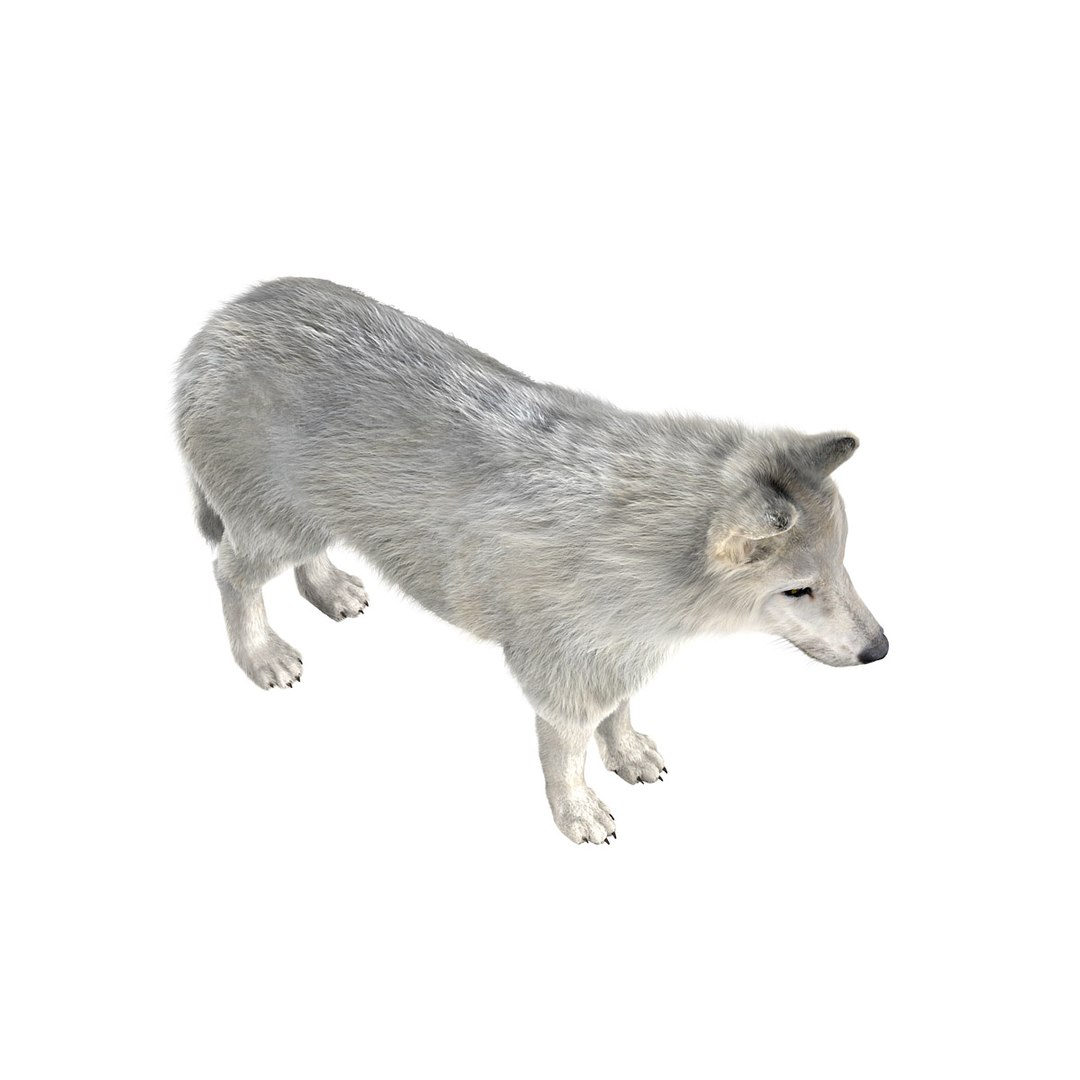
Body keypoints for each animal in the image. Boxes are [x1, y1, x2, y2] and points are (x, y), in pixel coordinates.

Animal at [174, 277, 888, 844]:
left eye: (842, 566)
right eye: (798, 590)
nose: (880, 649)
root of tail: (218, 324)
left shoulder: (618, 649)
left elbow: (618, 713)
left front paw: (628, 753)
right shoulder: (563, 666)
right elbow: (564, 755)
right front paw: (578, 812)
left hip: (311, 516)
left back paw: (330, 589)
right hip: (274, 524)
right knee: (230, 572)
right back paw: (261, 653)